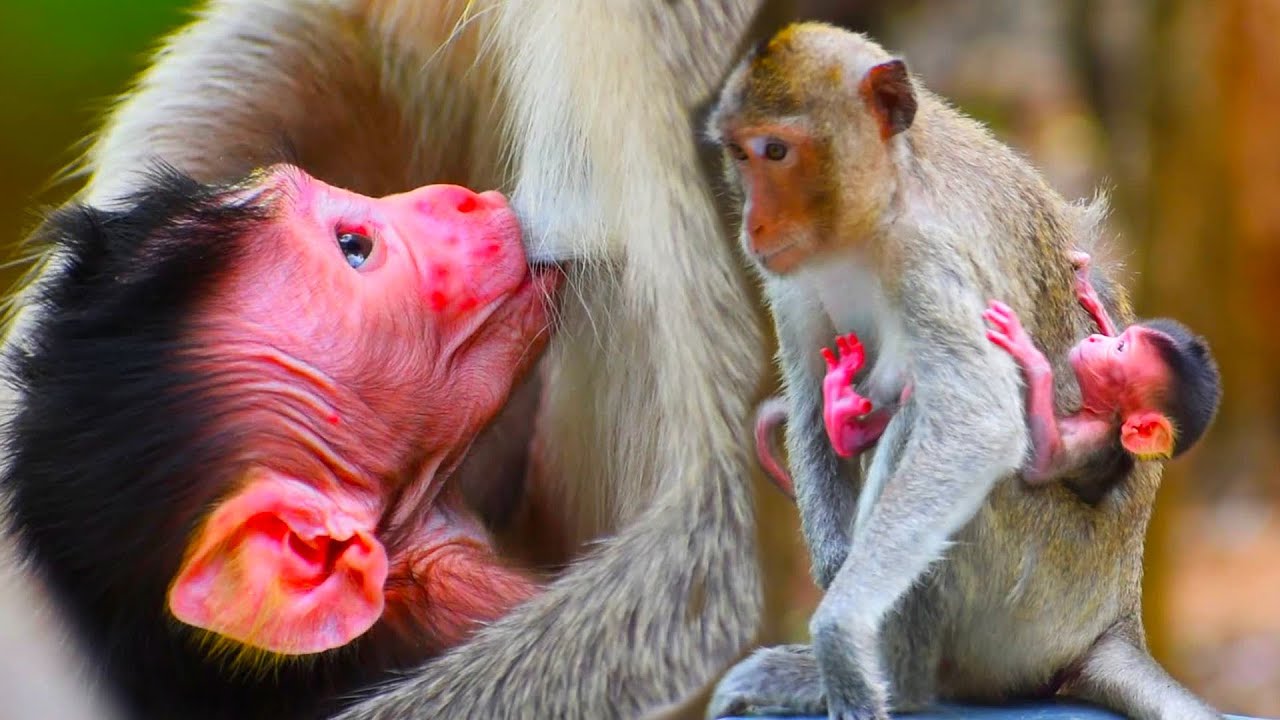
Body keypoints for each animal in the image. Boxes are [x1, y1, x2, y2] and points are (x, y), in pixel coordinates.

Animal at [704, 23, 1221, 720]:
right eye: (740, 154)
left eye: (777, 151)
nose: (754, 222)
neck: (884, 200)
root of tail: (1114, 615)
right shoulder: (789, 273)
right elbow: (809, 405)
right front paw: (838, 570)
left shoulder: (932, 255)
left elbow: (977, 427)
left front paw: (839, 633)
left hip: (1037, 599)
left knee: (935, 426)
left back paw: (896, 680)